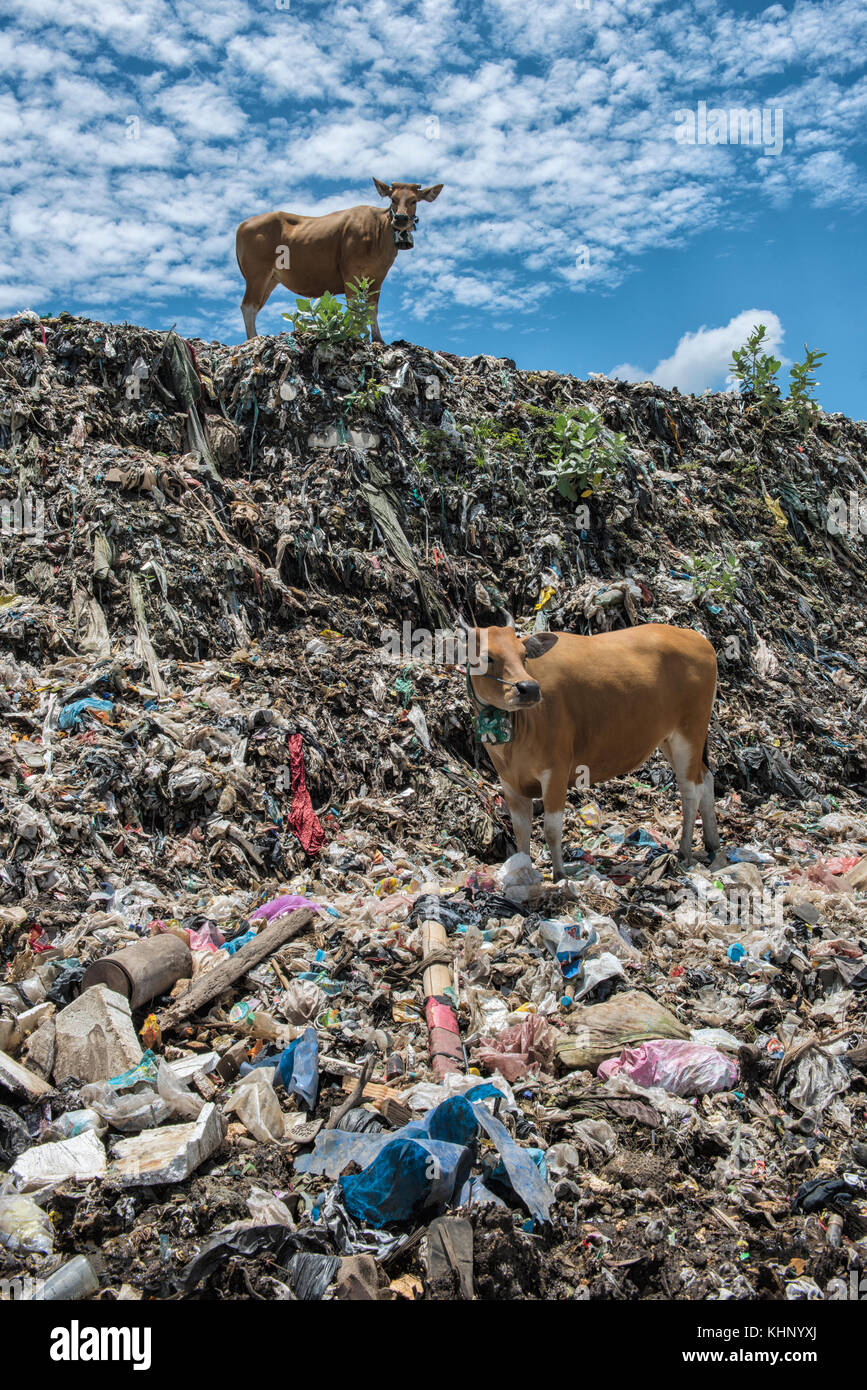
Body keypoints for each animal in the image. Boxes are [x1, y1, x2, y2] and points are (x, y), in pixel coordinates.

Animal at [235, 178, 443, 343]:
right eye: (393, 199)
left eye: (414, 200)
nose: (400, 218)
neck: (376, 232)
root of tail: (243, 224)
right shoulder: (350, 272)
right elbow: (353, 307)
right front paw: (355, 335)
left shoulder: (378, 276)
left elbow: (372, 308)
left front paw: (378, 339)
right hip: (257, 275)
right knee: (248, 306)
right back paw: (253, 338)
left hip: (271, 279)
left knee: (253, 306)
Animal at [463, 620, 720, 878]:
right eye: (486, 657)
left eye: (524, 655)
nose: (530, 689)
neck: (517, 732)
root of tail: (696, 637)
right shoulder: (510, 781)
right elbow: (521, 831)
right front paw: (523, 870)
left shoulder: (556, 771)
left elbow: (551, 829)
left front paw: (559, 876)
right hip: (669, 738)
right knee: (706, 778)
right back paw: (712, 843)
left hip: (689, 733)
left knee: (690, 790)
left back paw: (685, 850)